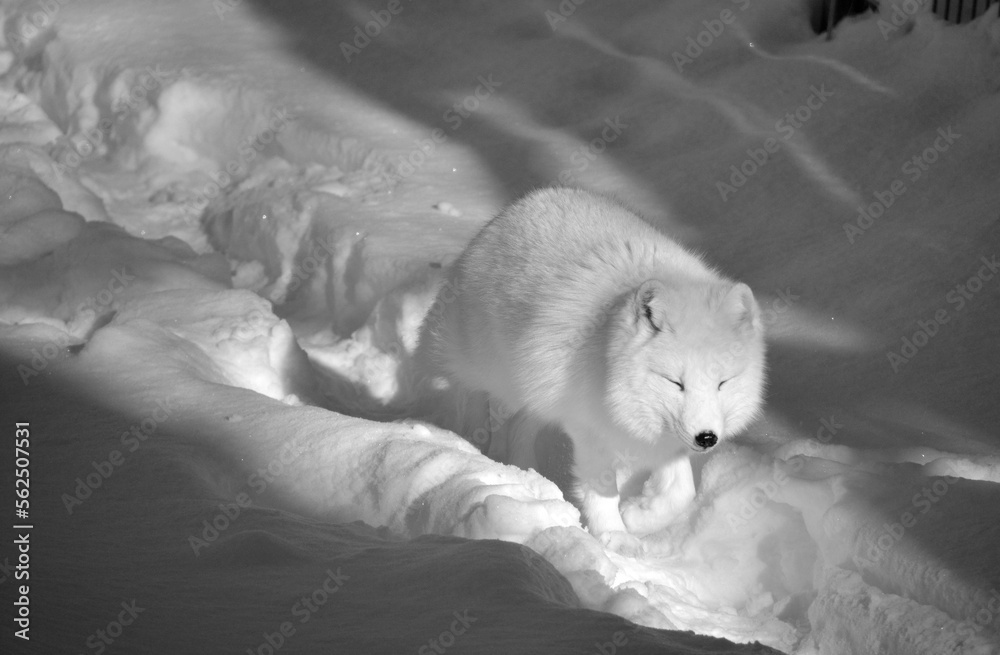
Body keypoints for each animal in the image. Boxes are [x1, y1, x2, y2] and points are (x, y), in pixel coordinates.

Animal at [417, 187, 766, 548]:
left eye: (723, 382)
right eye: (675, 382)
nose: (707, 438)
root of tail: (527, 201)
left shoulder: (666, 437)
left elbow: (681, 493)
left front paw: (638, 515)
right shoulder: (587, 428)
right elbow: (601, 490)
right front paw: (614, 534)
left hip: (536, 392)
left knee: (517, 428)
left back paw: (523, 470)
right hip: (483, 365)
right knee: (472, 393)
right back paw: (479, 444)